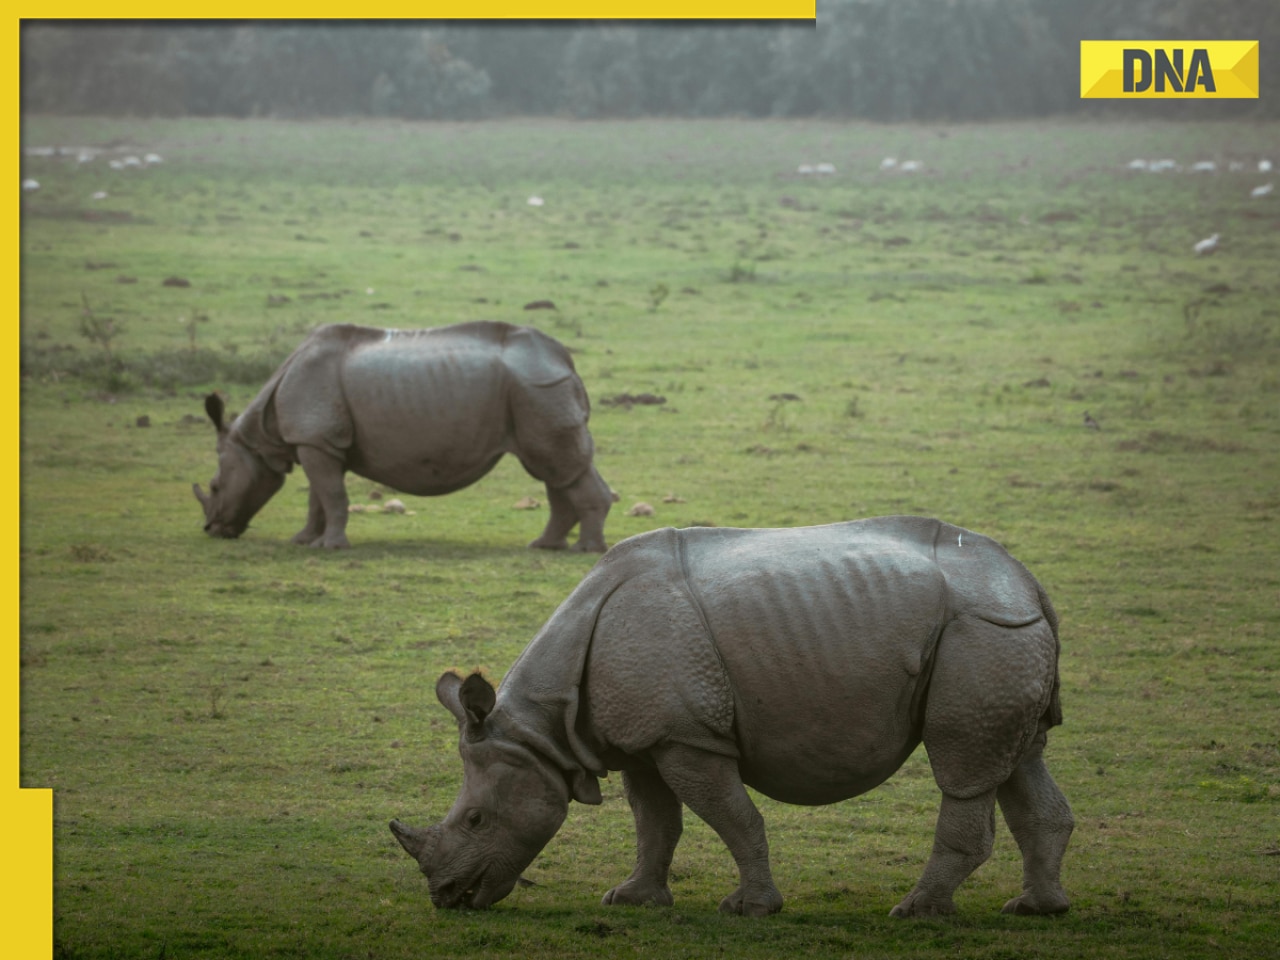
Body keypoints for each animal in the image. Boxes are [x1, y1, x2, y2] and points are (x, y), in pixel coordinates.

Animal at [193, 321, 613, 550]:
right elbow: (319, 497)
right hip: (537, 390)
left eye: (214, 486)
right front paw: (303, 541)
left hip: (538, 387)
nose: (212, 530)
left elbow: (331, 495)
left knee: (556, 465)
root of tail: (564, 358)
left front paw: (330, 547)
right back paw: (546, 546)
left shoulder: (314, 439)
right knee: (556, 469)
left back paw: (585, 550)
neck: (257, 438)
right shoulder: (318, 440)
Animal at [390, 516, 1073, 918]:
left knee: (963, 767)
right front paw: (633, 900)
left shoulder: (688, 736)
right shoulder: (643, 739)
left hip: (983, 630)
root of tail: (1028, 582)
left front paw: (750, 908)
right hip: (1004, 632)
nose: (445, 898)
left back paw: (915, 912)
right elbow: (655, 823)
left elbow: (732, 817)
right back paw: (1036, 910)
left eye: (476, 820)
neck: (543, 731)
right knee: (1019, 760)